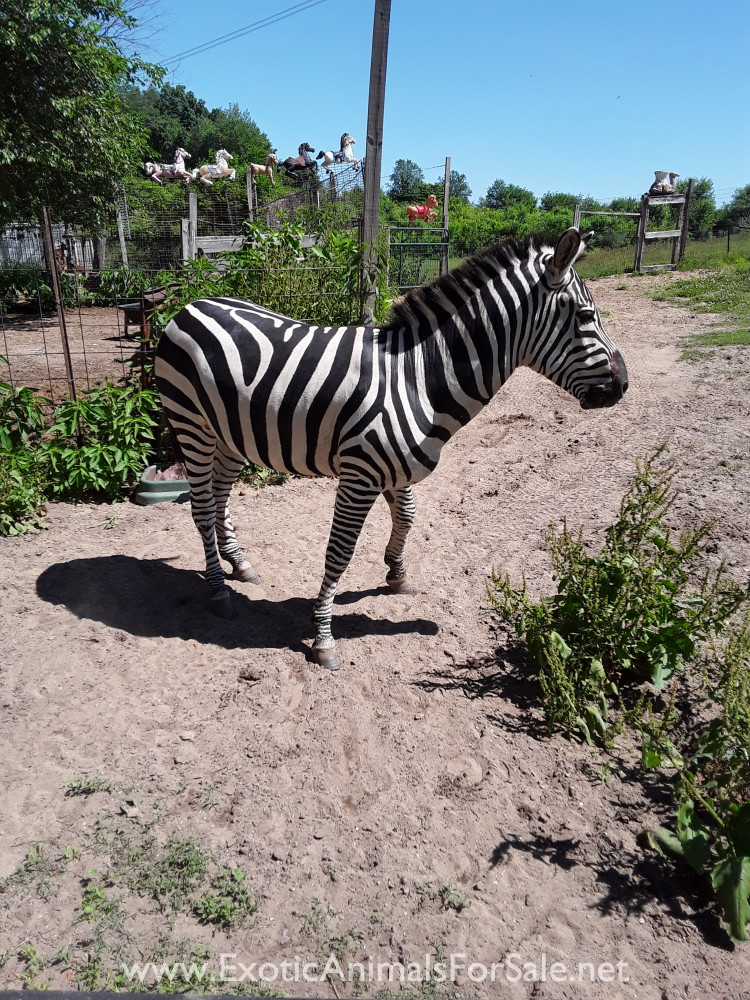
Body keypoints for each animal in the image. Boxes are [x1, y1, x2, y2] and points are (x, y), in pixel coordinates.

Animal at [155, 227, 628, 672]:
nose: (623, 386)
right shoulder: (360, 474)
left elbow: (408, 517)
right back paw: (218, 591)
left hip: (231, 434)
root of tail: (192, 304)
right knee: (201, 508)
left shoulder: (394, 468)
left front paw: (396, 575)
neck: (419, 379)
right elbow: (340, 552)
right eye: (586, 316)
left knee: (219, 498)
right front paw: (323, 637)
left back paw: (239, 565)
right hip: (192, 424)